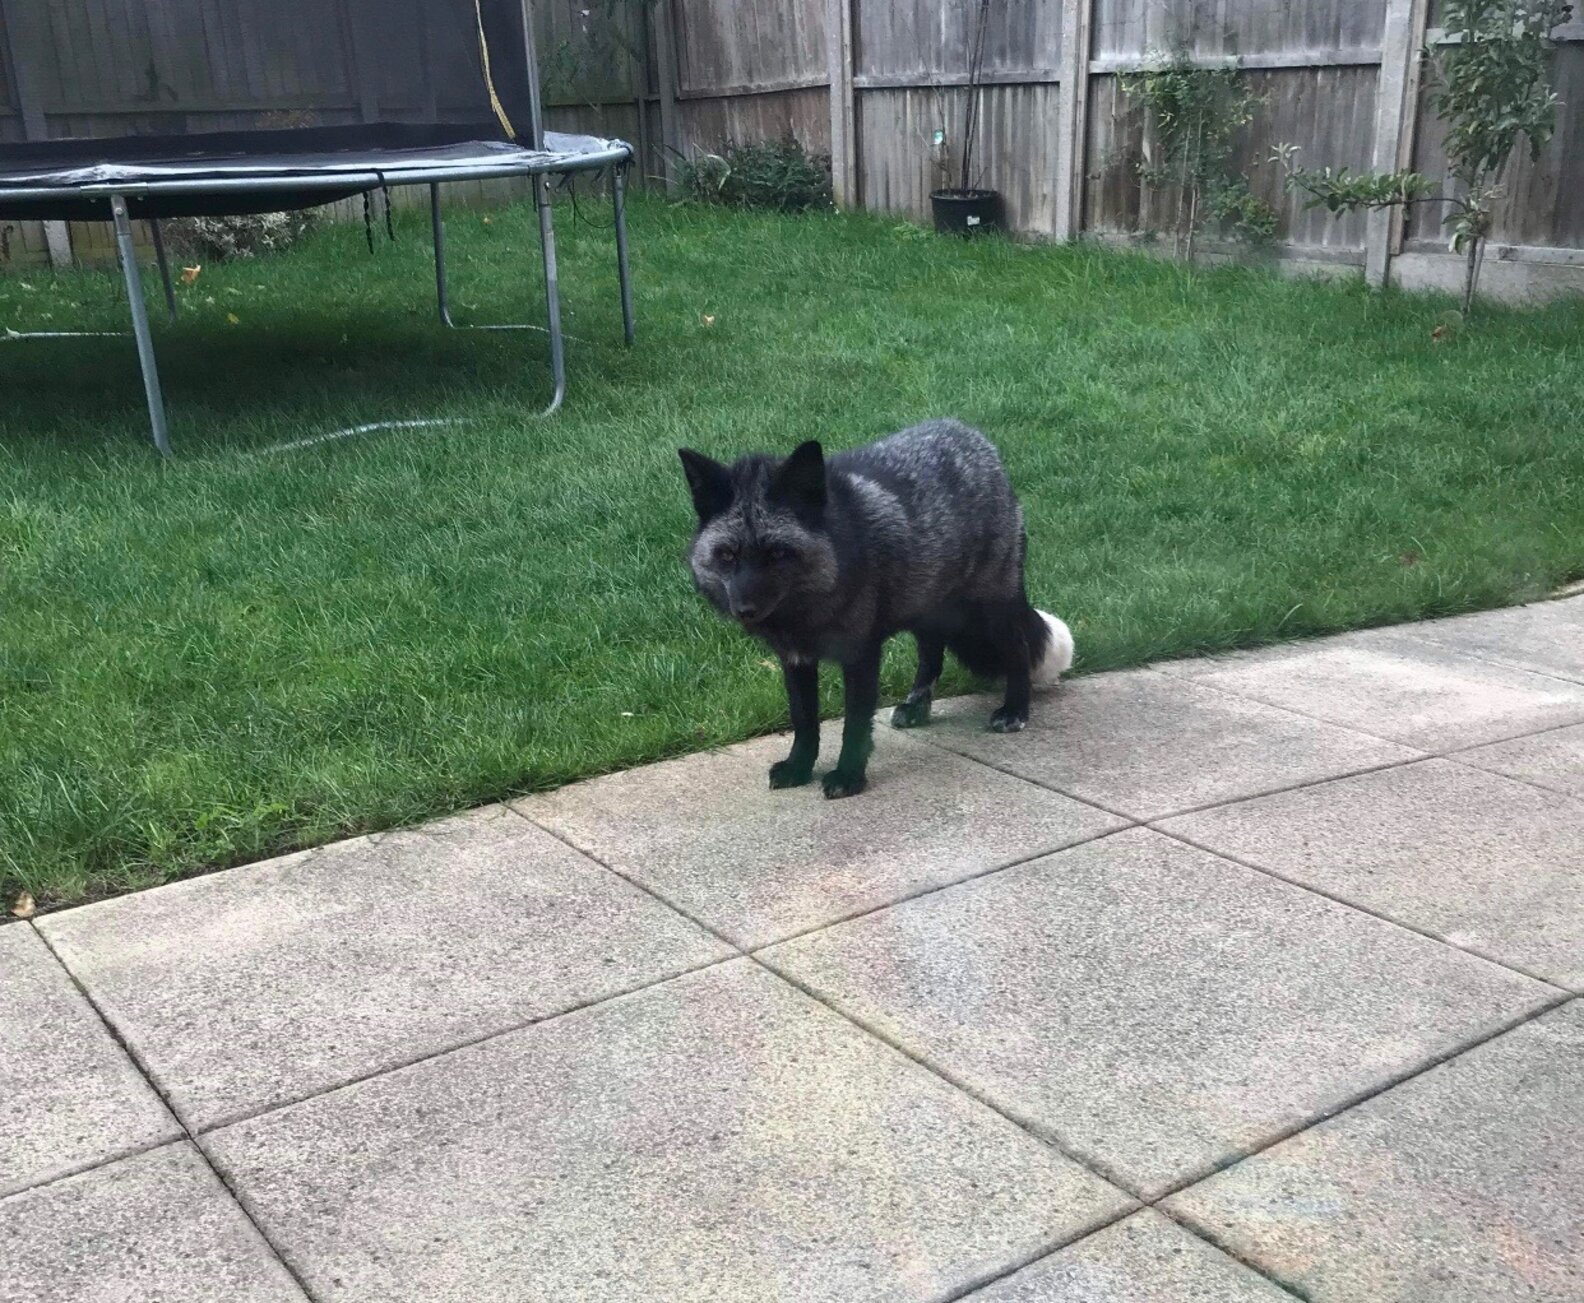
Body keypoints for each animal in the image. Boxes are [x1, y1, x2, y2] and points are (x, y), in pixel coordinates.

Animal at [678, 418, 1073, 799]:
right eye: (727, 555)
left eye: (776, 554)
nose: (744, 609)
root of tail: (974, 438)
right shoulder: (795, 659)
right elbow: (804, 721)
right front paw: (799, 768)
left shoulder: (861, 654)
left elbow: (854, 725)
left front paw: (849, 776)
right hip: (925, 604)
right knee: (932, 653)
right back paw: (917, 707)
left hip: (992, 607)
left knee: (1017, 649)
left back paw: (1014, 711)